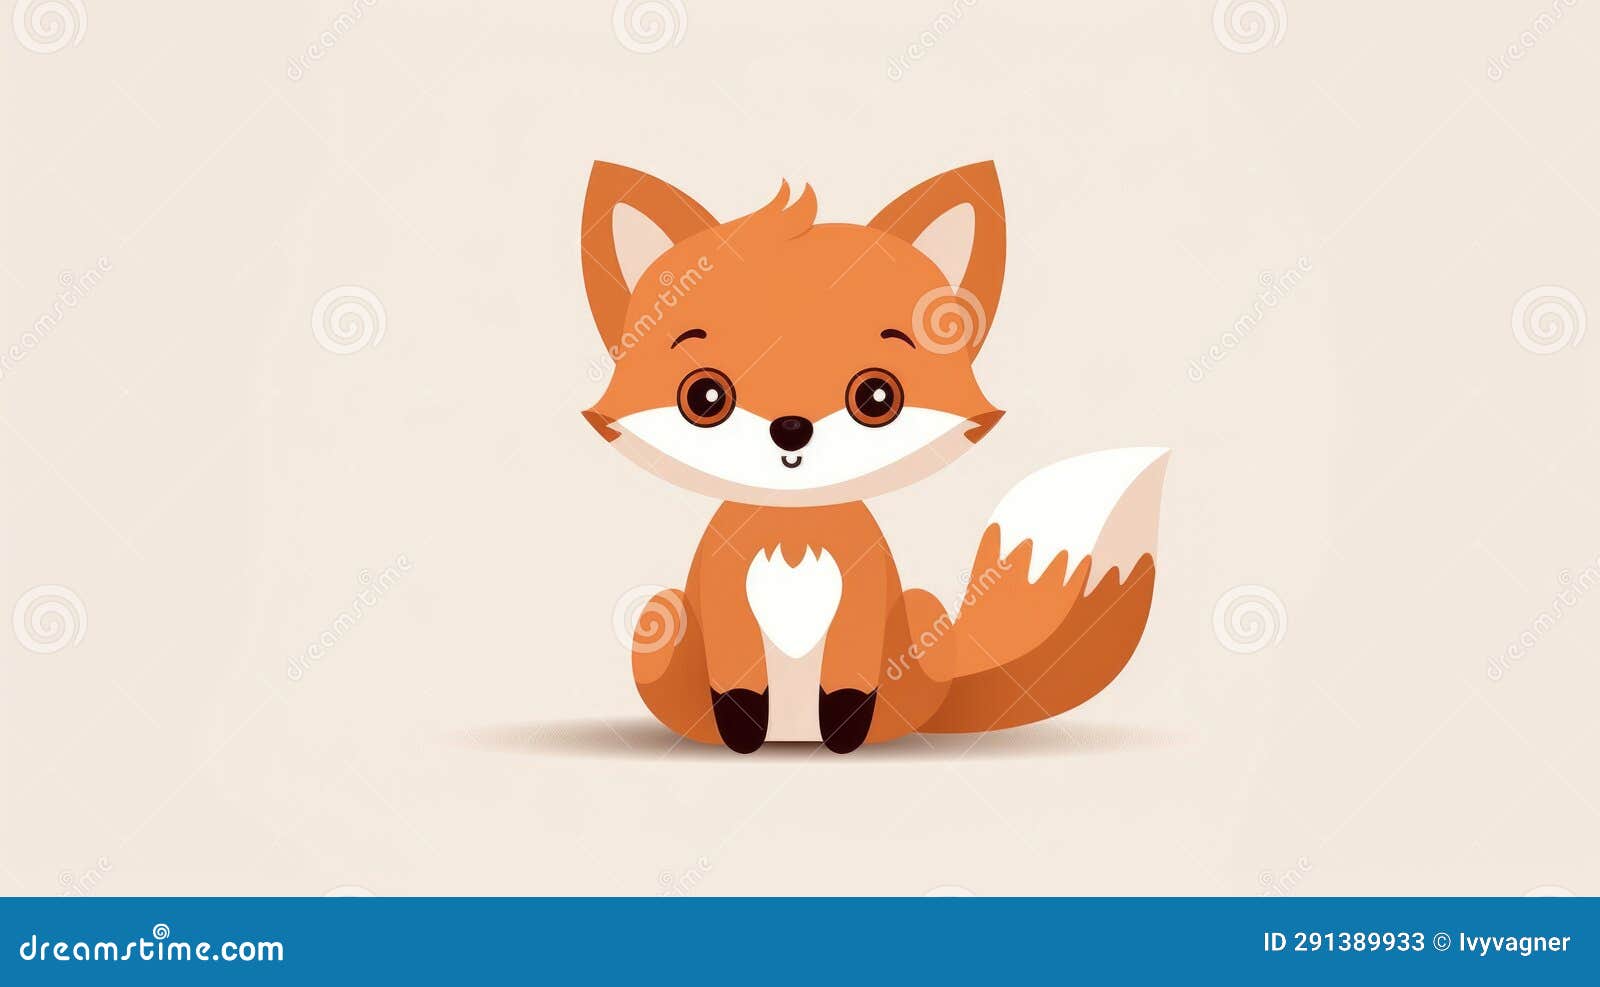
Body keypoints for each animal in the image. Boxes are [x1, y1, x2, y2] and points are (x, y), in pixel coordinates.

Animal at [580, 160, 1169, 753]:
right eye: (704, 396)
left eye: (876, 397)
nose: (790, 429)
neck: (794, 528)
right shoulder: (722, 587)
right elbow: (737, 676)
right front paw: (742, 730)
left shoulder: (865, 590)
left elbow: (849, 678)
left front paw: (845, 731)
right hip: (660, 615)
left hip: (919, 612)